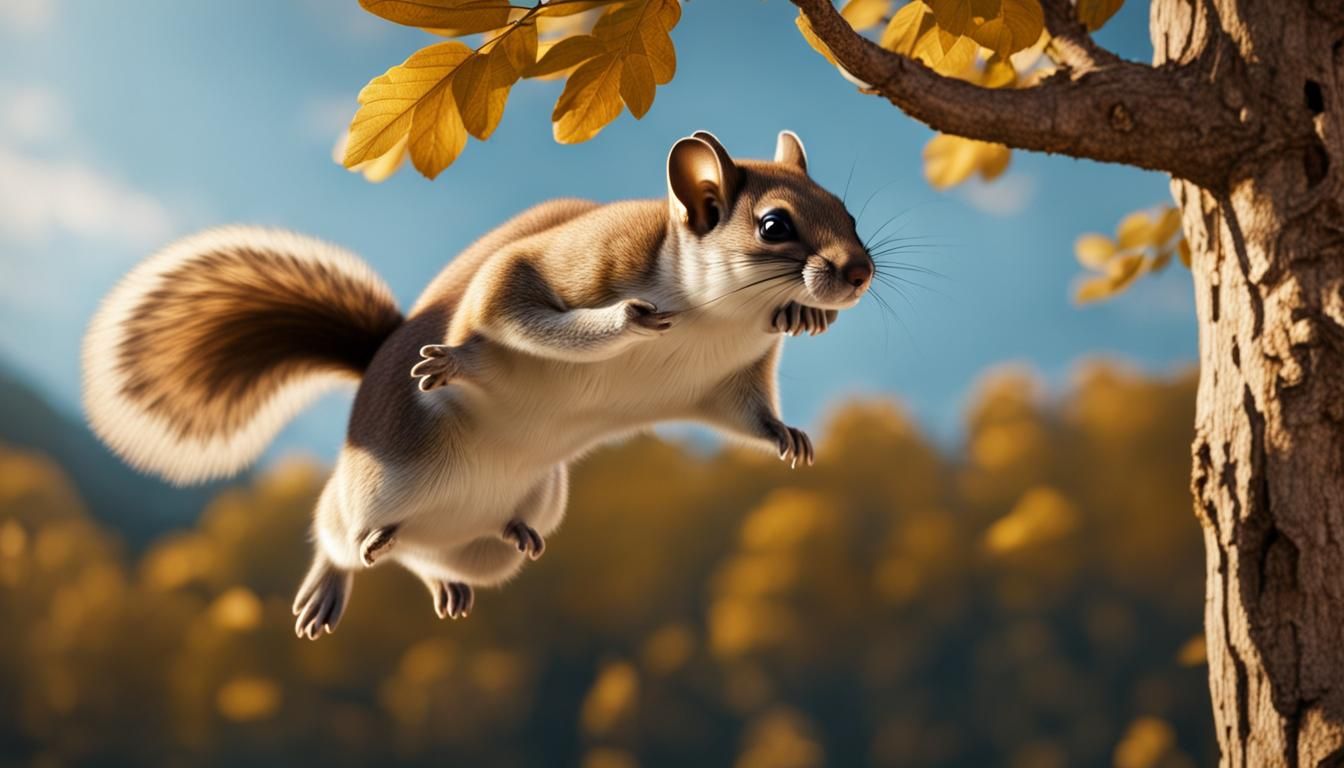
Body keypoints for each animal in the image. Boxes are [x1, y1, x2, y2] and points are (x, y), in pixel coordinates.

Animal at [82, 130, 874, 639]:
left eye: (847, 210)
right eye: (774, 225)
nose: (859, 272)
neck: (715, 315)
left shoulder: (726, 382)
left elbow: (747, 415)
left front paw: (791, 415)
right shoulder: (565, 261)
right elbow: (506, 309)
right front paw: (617, 321)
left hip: (514, 518)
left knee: (418, 555)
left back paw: (471, 555)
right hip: (374, 483)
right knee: (336, 534)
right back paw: (326, 588)